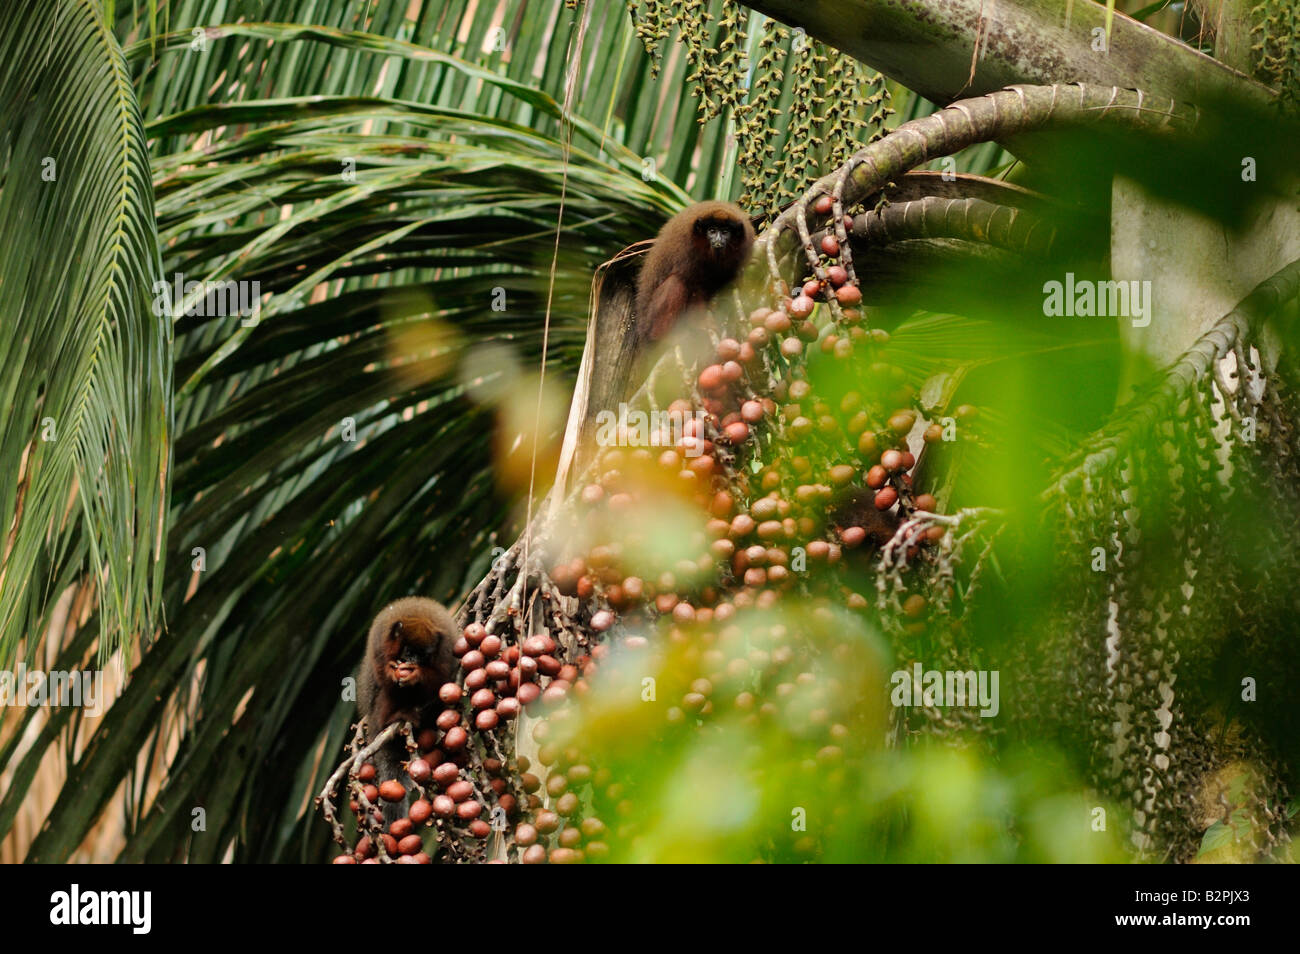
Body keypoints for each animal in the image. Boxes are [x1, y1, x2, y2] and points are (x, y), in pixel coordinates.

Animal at [356, 597, 458, 822]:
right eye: (409, 652)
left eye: (421, 656)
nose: (411, 661)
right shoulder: (379, 640)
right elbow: (381, 674)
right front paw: (391, 673)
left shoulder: (446, 648)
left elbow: (442, 677)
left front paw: (416, 674)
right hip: (377, 715)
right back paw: (396, 716)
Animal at [634, 200, 756, 344]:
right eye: (712, 231)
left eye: (725, 232)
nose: (718, 241)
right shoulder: (687, 249)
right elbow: (695, 287)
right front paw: (701, 324)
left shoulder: (746, 245)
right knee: (675, 283)